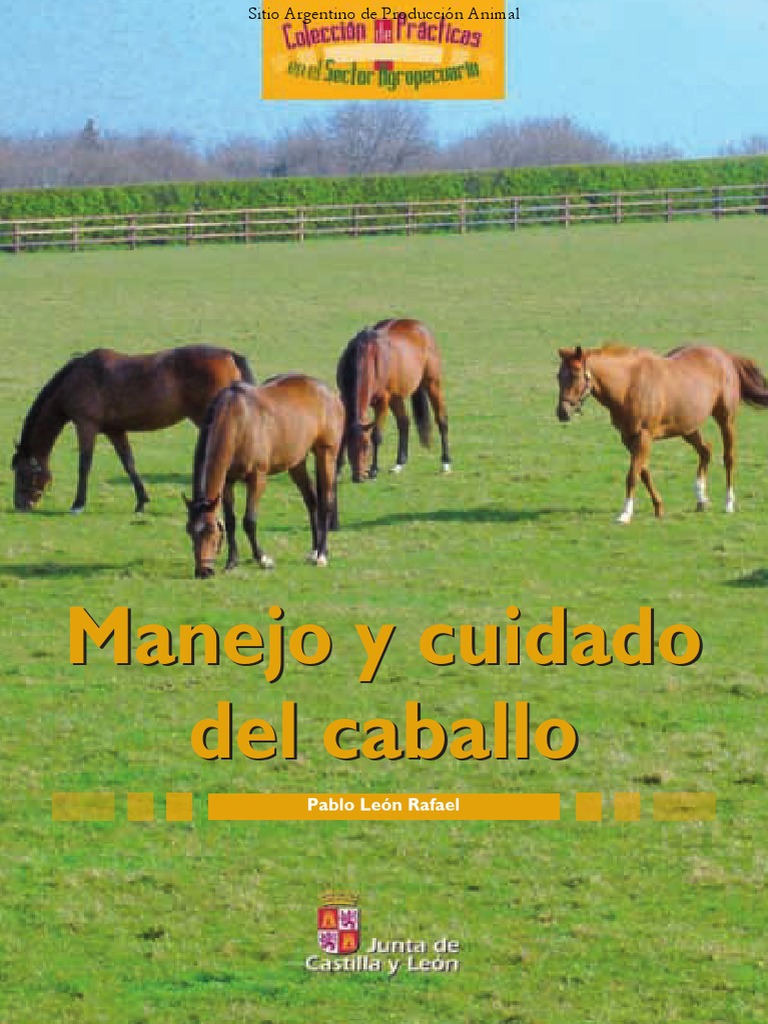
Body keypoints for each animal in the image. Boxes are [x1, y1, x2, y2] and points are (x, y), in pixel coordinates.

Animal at [11, 344, 255, 514]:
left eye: (22, 473)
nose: (20, 506)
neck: (78, 378)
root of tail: (229, 355)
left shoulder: (86, 426)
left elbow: (84, 465)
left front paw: (78, 504)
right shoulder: (115, 431)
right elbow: (129, 464)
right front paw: (141, 501)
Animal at [185, 374, 344, 579]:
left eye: (211, 531)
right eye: (190, 532)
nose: (203, 572)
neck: (237, 419)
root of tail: (328, 392)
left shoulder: (257, 478)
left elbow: (249, 521)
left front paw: (263, 559)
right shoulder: (228, 481)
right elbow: (230, 521)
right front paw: (232, 562)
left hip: (327, 454)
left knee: (326, 502)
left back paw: (322, 554)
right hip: (296, 462)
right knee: (311, 500)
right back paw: (314, 550)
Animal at [336, 318, 451, 482]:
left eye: (367, 446)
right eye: (349, 446)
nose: (358, 478)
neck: (364, 357)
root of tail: (419, 326)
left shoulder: (382, 401)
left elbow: (376, 435)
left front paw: (374, 470)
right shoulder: (344, 399)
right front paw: (337, 470)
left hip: (433, 383)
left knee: (442, 420)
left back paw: (446, 463)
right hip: (396, 397)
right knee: (404, 422)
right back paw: (399, 464)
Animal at [556, 343, 768, 522]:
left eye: (575, 375)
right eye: (558, 376)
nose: (562, 412)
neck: (629, 384)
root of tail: (725, 355)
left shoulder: (643, 436)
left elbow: (632, 475)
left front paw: (625, 513)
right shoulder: (628, 438)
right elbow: (643, 472)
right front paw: (658, 507)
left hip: (726, 421)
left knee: (729, 458)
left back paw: (729, 502)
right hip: (688, 427)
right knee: (705, 450)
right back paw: (701, 498)